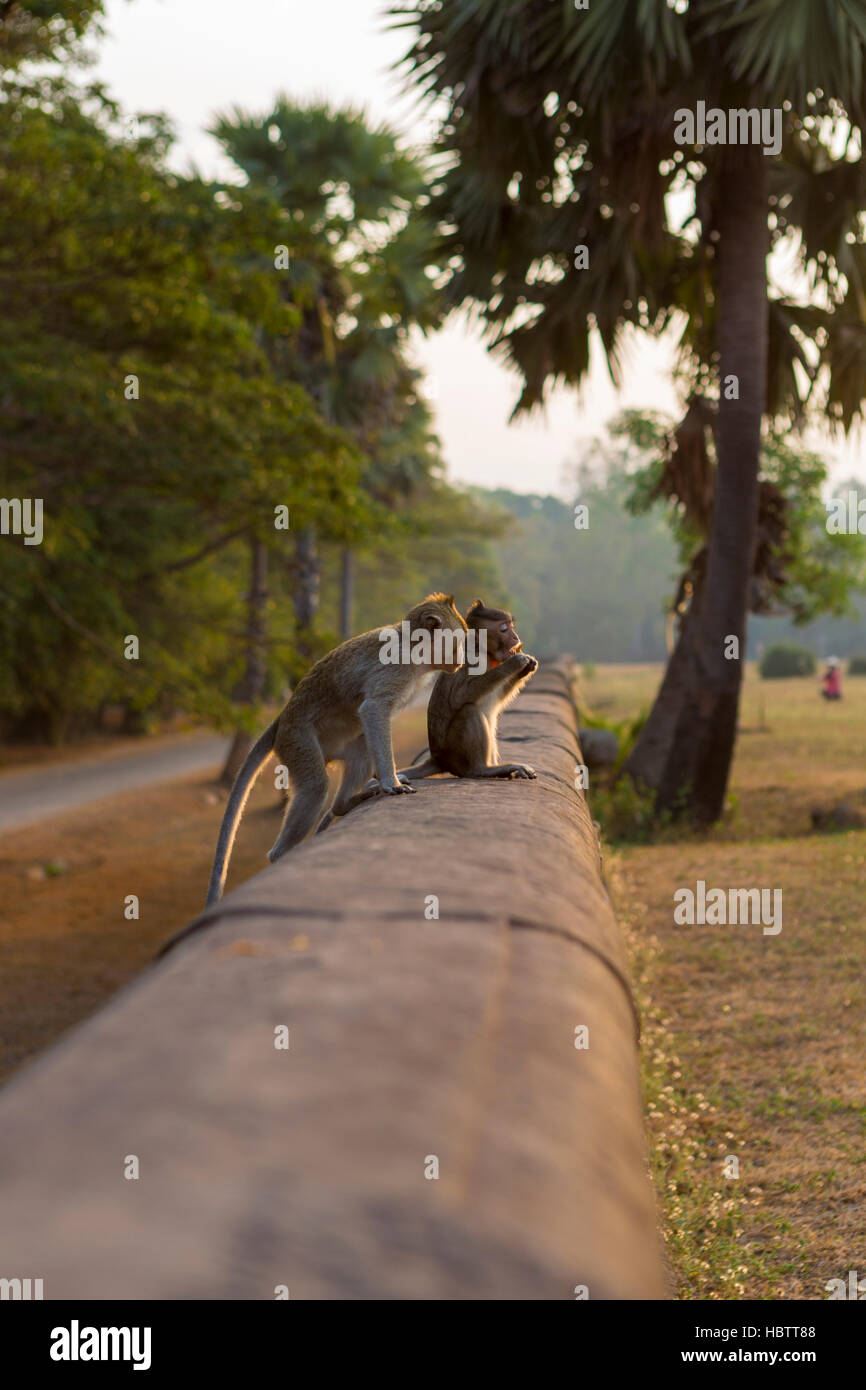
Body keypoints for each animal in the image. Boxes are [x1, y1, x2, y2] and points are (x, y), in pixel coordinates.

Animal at [204, 593, 468, 906]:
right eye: (458, 642)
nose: (462, 661)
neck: (415, 650)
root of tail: (283, 717)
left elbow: (372, 723)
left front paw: (386, 779)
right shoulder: (395, 670)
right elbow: (374, 710)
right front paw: (390, 781)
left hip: (330, 742)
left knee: (360, 750)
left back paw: (344, 803)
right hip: (297, 740)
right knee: (315, 785)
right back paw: (282, 855)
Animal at [320, 599, 537, 829]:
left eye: (511, 627)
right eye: (504, 629)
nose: (516, 638)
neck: (485, 652)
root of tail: (439, 758)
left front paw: (527, 665)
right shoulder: (471, 661)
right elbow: (460, 695)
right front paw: (516, 663)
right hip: (455, 751)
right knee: (469, 711)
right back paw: (483, 770)